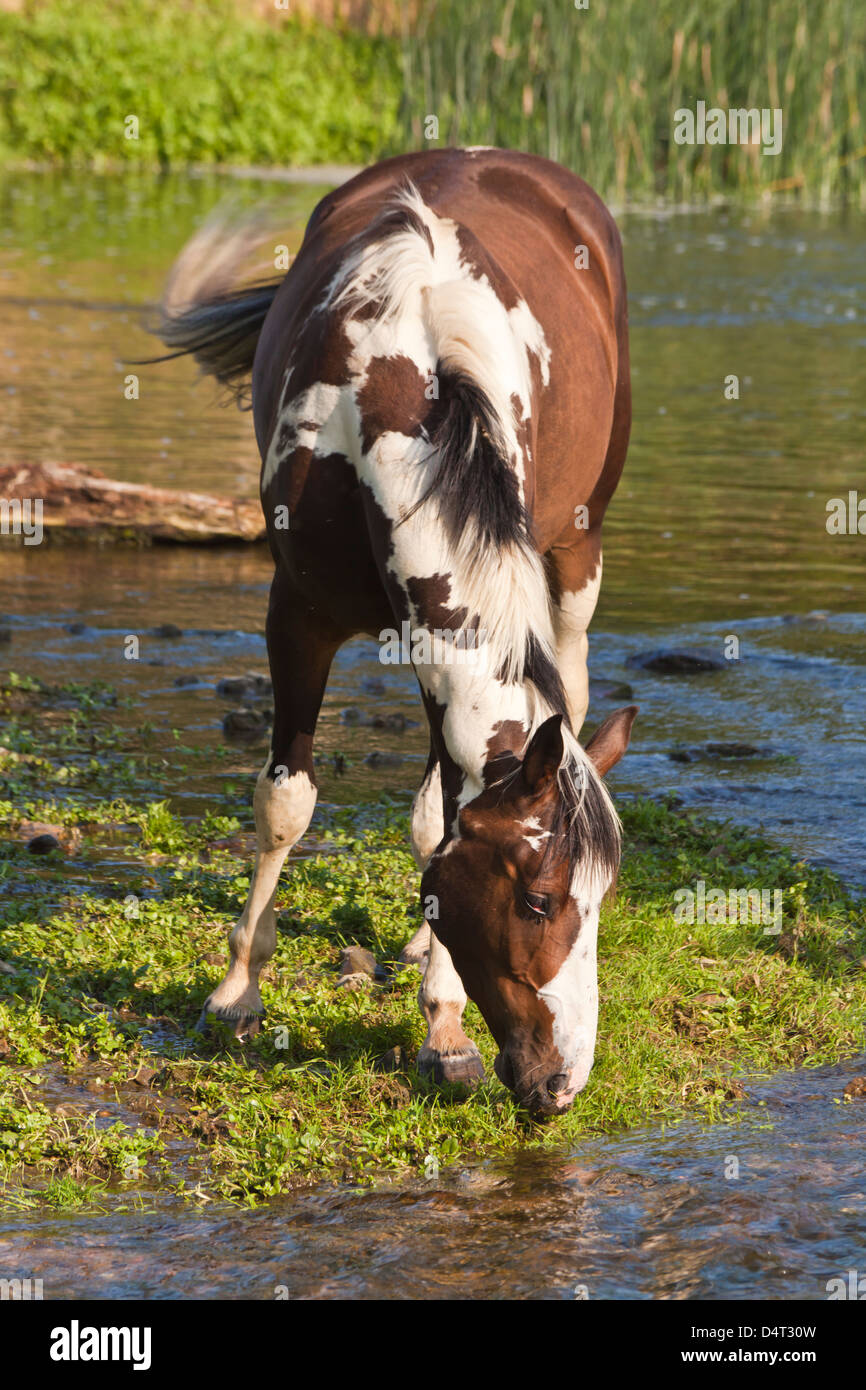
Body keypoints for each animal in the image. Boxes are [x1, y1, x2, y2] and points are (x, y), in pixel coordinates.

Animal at [155, 148, 637, 1118]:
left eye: (603, 899)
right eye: (538, 900)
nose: (562, 1084)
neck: (393, 391)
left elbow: (441, 820)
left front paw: (444, 1026)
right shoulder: (299, 615)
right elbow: (286, 804)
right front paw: (237, 993)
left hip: (579, 551)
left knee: (565, 680)